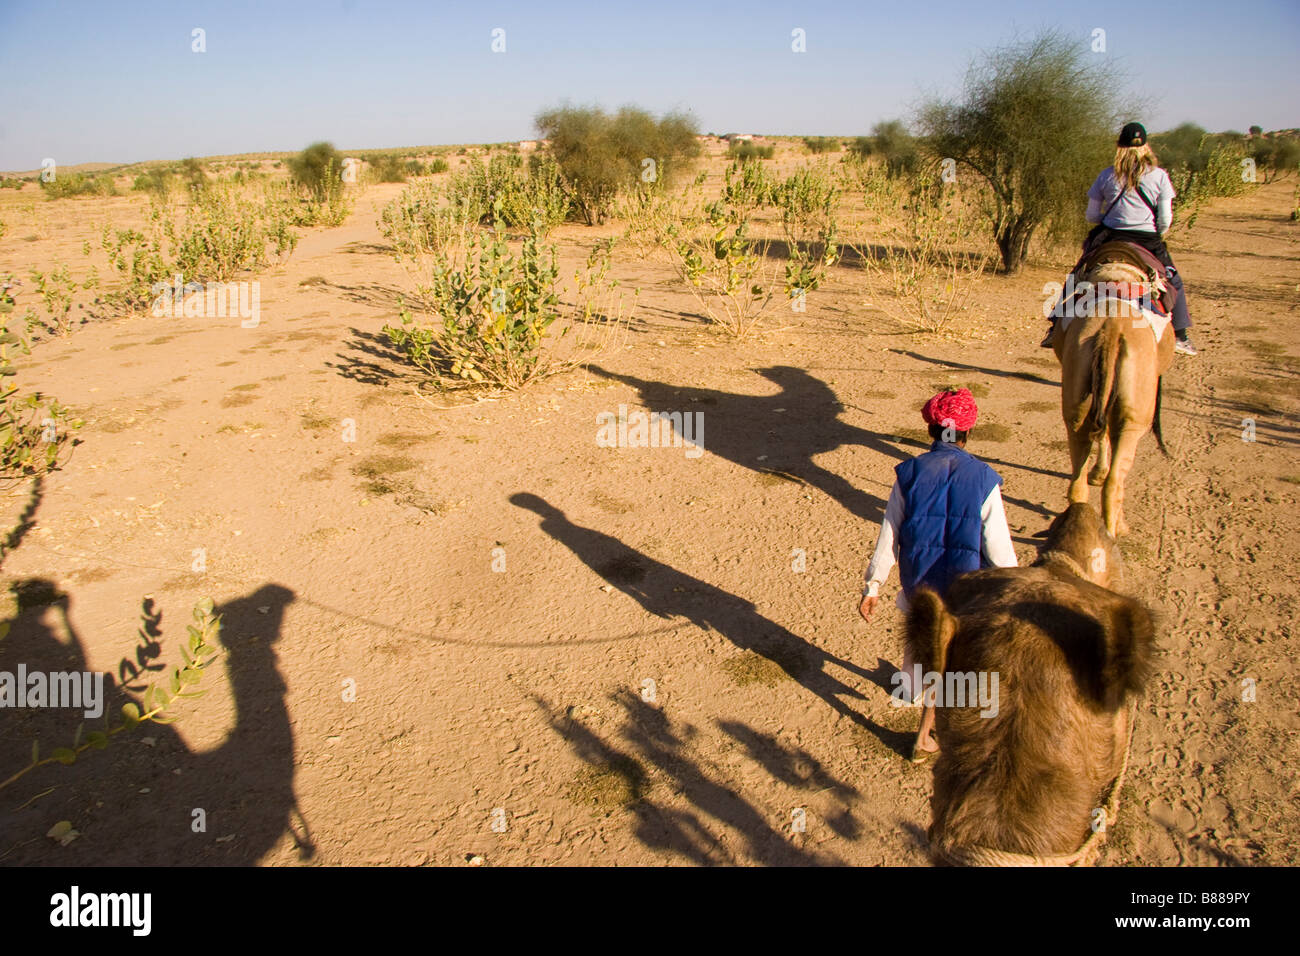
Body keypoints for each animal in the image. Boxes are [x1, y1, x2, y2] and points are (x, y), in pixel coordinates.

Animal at [1053, 246, 1174, 536]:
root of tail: (1112, 328)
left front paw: (1096, 472)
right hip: (1133, 419)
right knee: (1115, 481)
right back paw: (1116, 528)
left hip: (1077, 400)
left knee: (1078, 469)